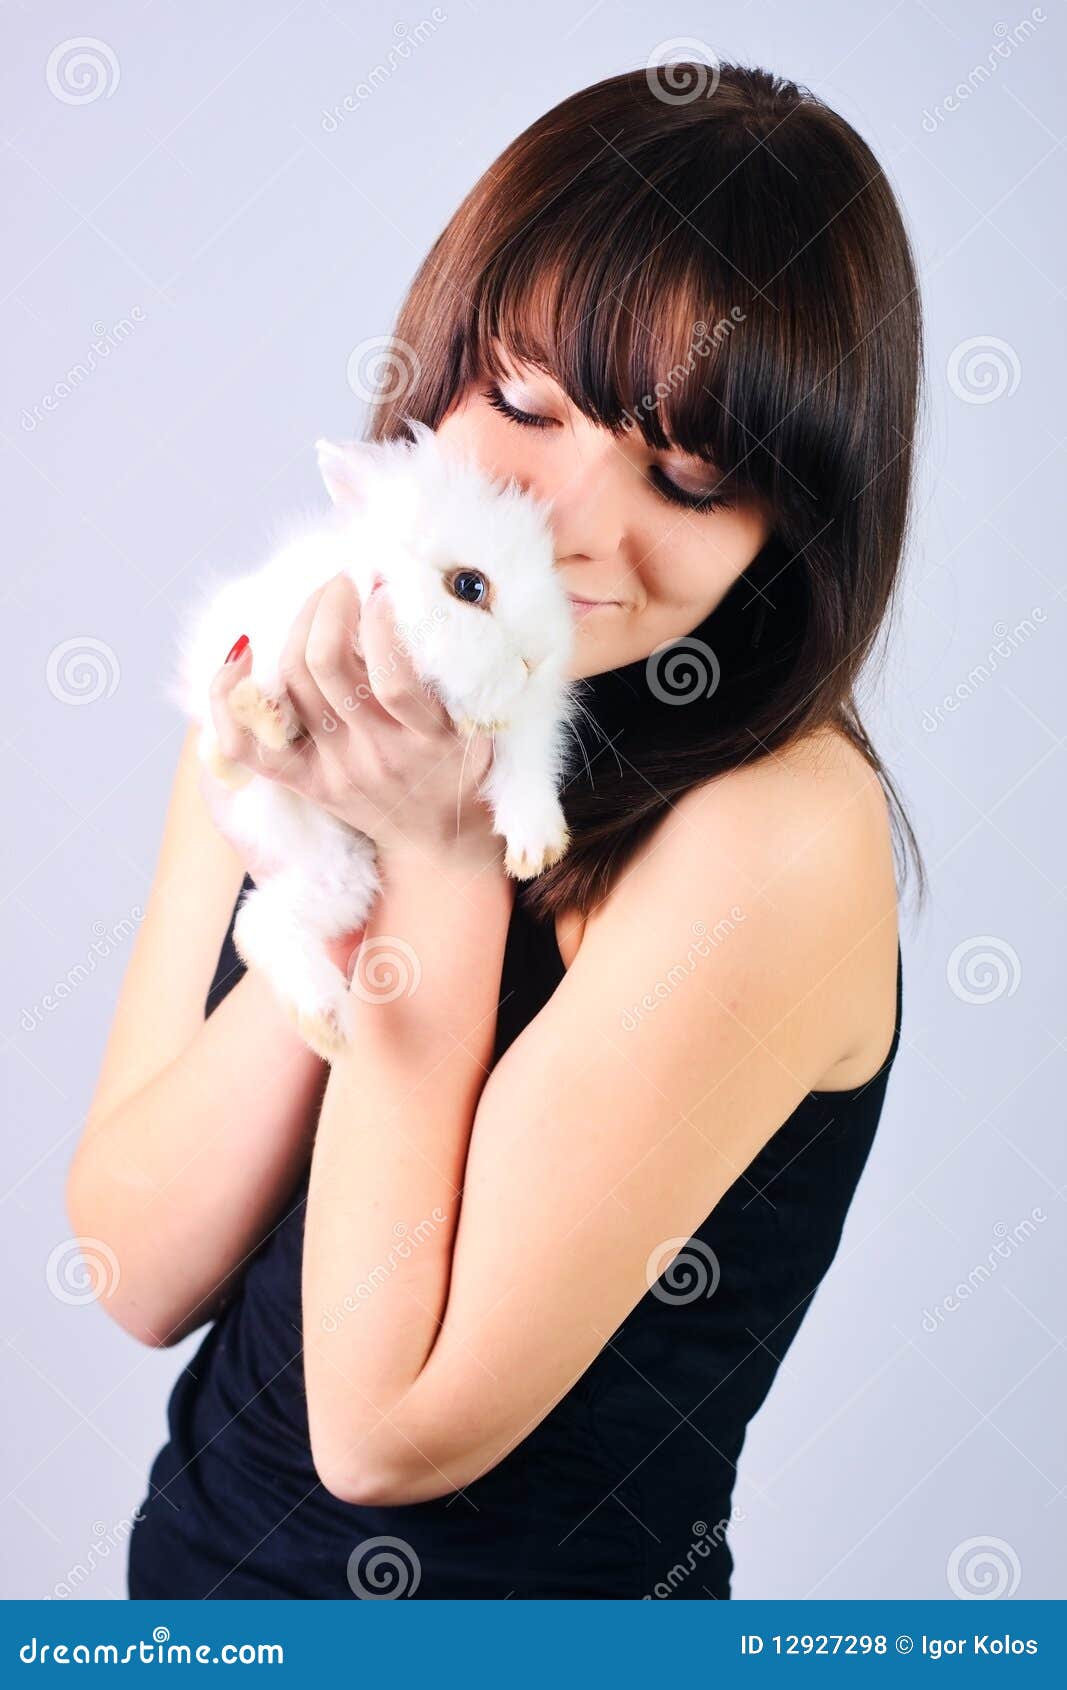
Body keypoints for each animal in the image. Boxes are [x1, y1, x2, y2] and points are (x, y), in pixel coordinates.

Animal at [166, 420, 580, 1061]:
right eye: (469, 586)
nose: (538, 659)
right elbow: (246, 697)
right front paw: (255, 722)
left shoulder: (527, 727)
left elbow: (523, 773)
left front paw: (536, 851)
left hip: (344, 874)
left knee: (258, 926)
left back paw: (325, 1024)